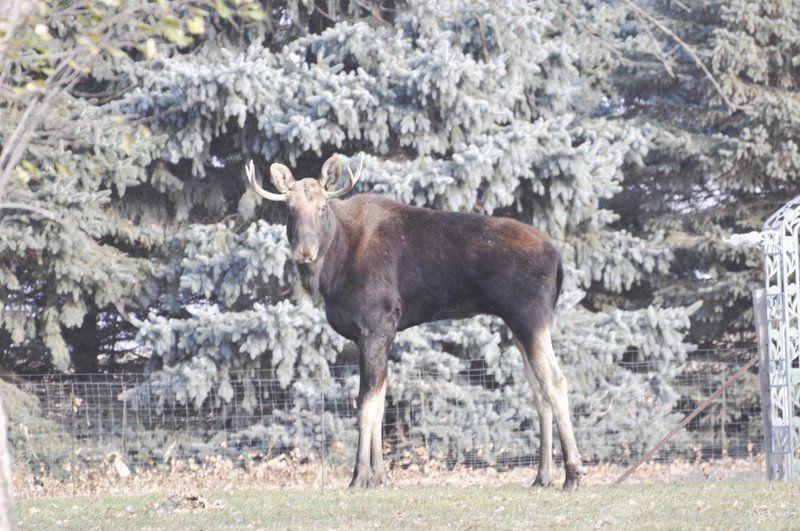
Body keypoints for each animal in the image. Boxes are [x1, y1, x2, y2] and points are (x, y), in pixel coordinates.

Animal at [245, 154, 586, 490]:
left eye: (323, 207)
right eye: (289, 210)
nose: (304, 253)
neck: (333, 271)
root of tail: (558, 259)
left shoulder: (375, 324)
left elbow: (366, 403)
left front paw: (360, 477)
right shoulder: (376, 333)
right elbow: (380, 402)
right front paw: (380, 476)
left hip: (531, 317)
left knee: (555, 382)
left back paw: (572, 474)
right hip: (517, 324)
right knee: (538, 390)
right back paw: (542, 476)